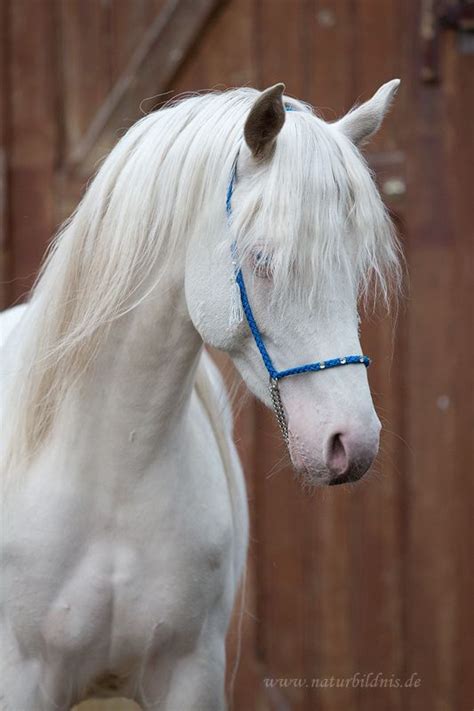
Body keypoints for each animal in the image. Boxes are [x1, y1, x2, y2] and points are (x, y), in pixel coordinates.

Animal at [0, 80, 401, 709]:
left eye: (355, 264)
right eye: (261, 259)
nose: (351, 442)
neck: (114, 475)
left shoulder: (190, 672)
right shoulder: (21, 676)